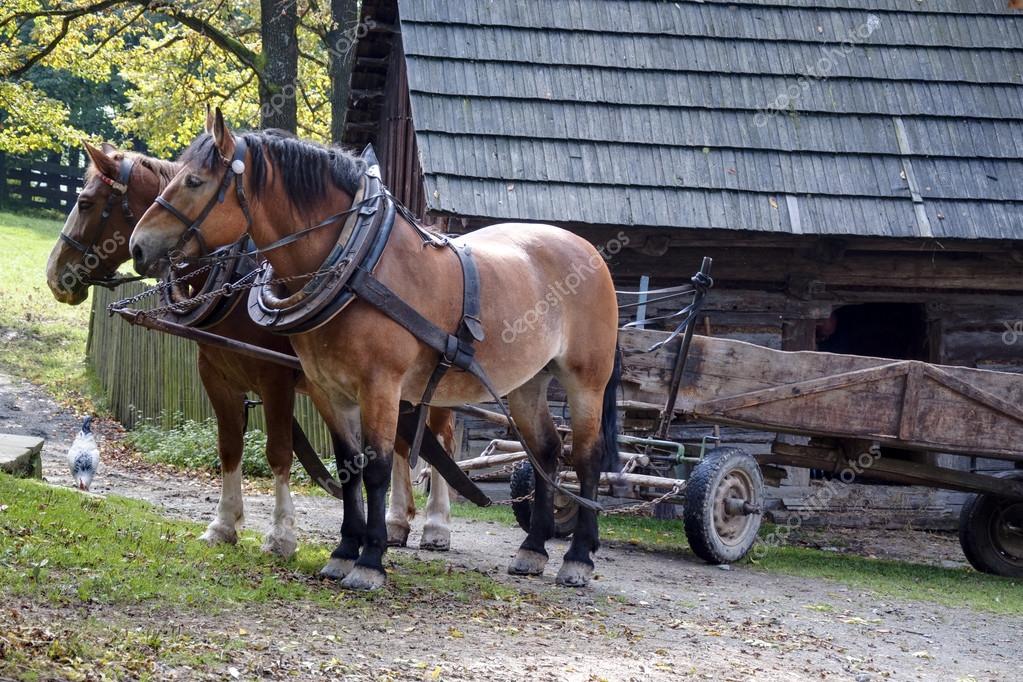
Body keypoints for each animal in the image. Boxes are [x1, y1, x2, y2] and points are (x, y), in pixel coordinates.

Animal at [46, 139, 455, 565]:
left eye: (86, 202)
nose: (55, 275)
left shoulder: (275, 380)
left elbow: (279, 452)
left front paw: (281, 535)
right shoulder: (216, 374)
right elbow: (229, 447)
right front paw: (223, 525)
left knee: (442, 438)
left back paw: (436, 525)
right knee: (405, 444)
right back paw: (397, 521)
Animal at [129, 110, 621, 590]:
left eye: (195, 181)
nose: (137, 245)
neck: (359, 261)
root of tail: (589, 252)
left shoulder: (374, 386)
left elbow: (376, 468)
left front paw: (369, 561)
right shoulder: (327, 388)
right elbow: (348, 466)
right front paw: (344, 552)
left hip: (584, 380)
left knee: (584, 457)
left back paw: (577, 557)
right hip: (527, 382)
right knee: (546, 451)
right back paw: (533, 549)